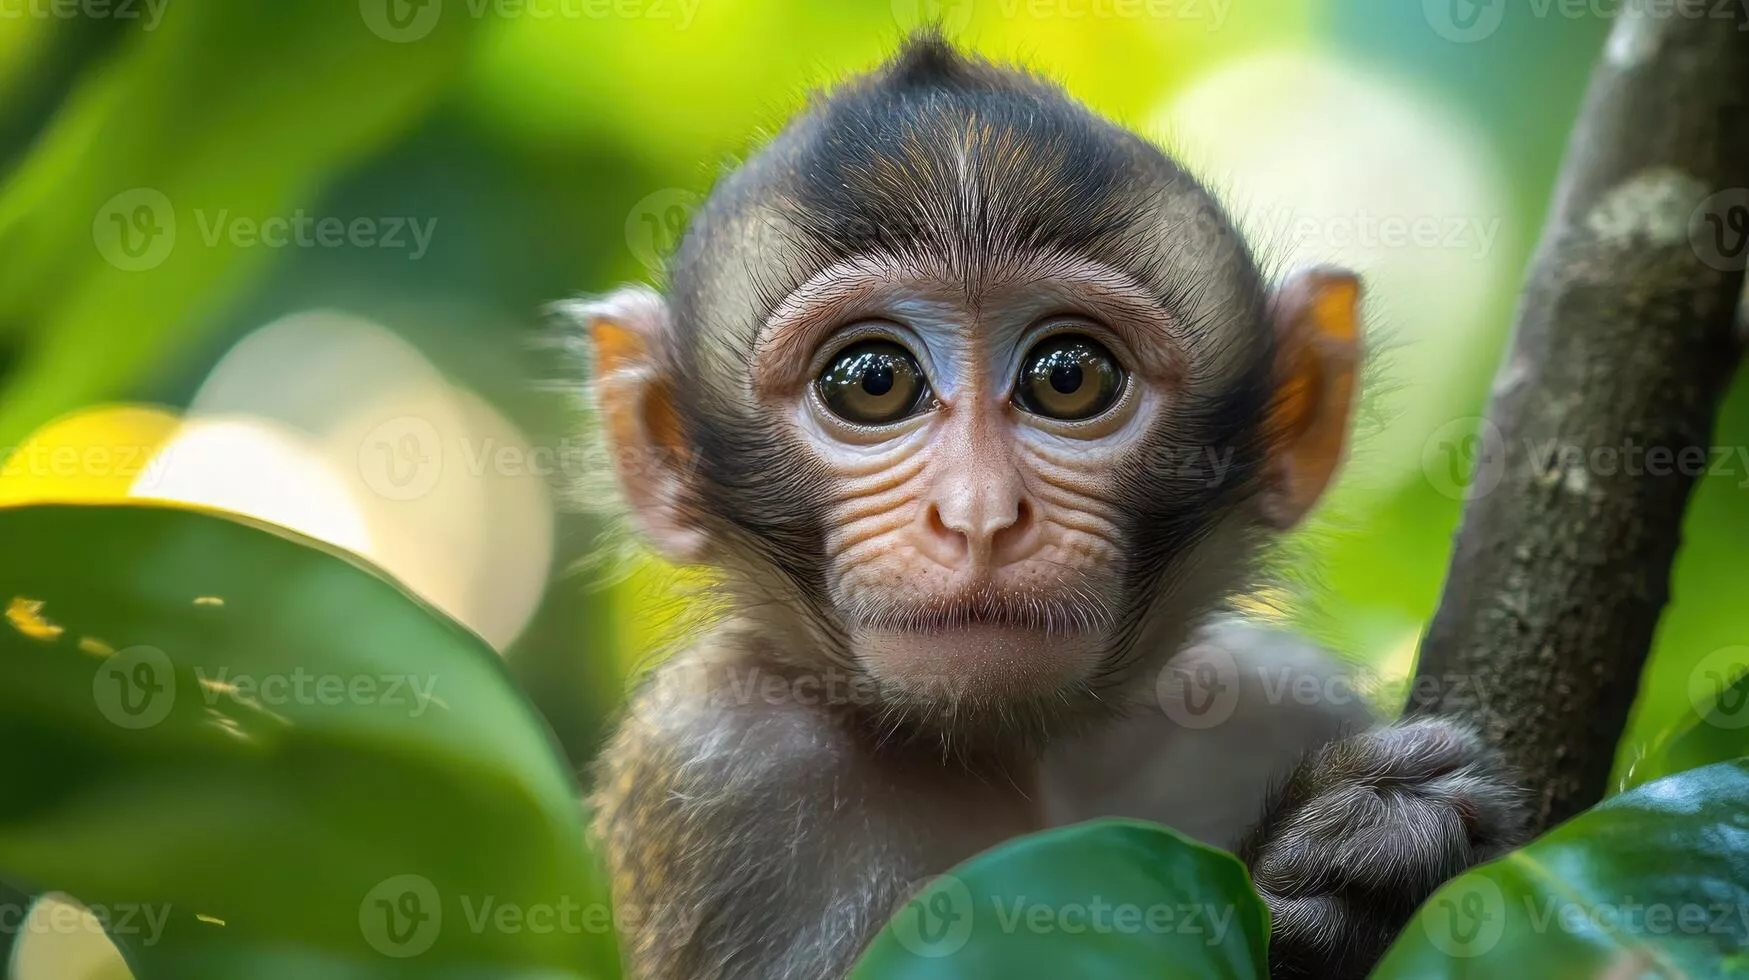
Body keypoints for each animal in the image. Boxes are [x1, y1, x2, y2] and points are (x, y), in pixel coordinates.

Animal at [575, 34, 1526, 980]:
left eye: (1068, 376)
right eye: (874, 382)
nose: (979, 516)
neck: (1021, 750)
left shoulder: (1278, 697)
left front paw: (1367, 863)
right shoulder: (723, 762)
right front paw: (1336, 867)